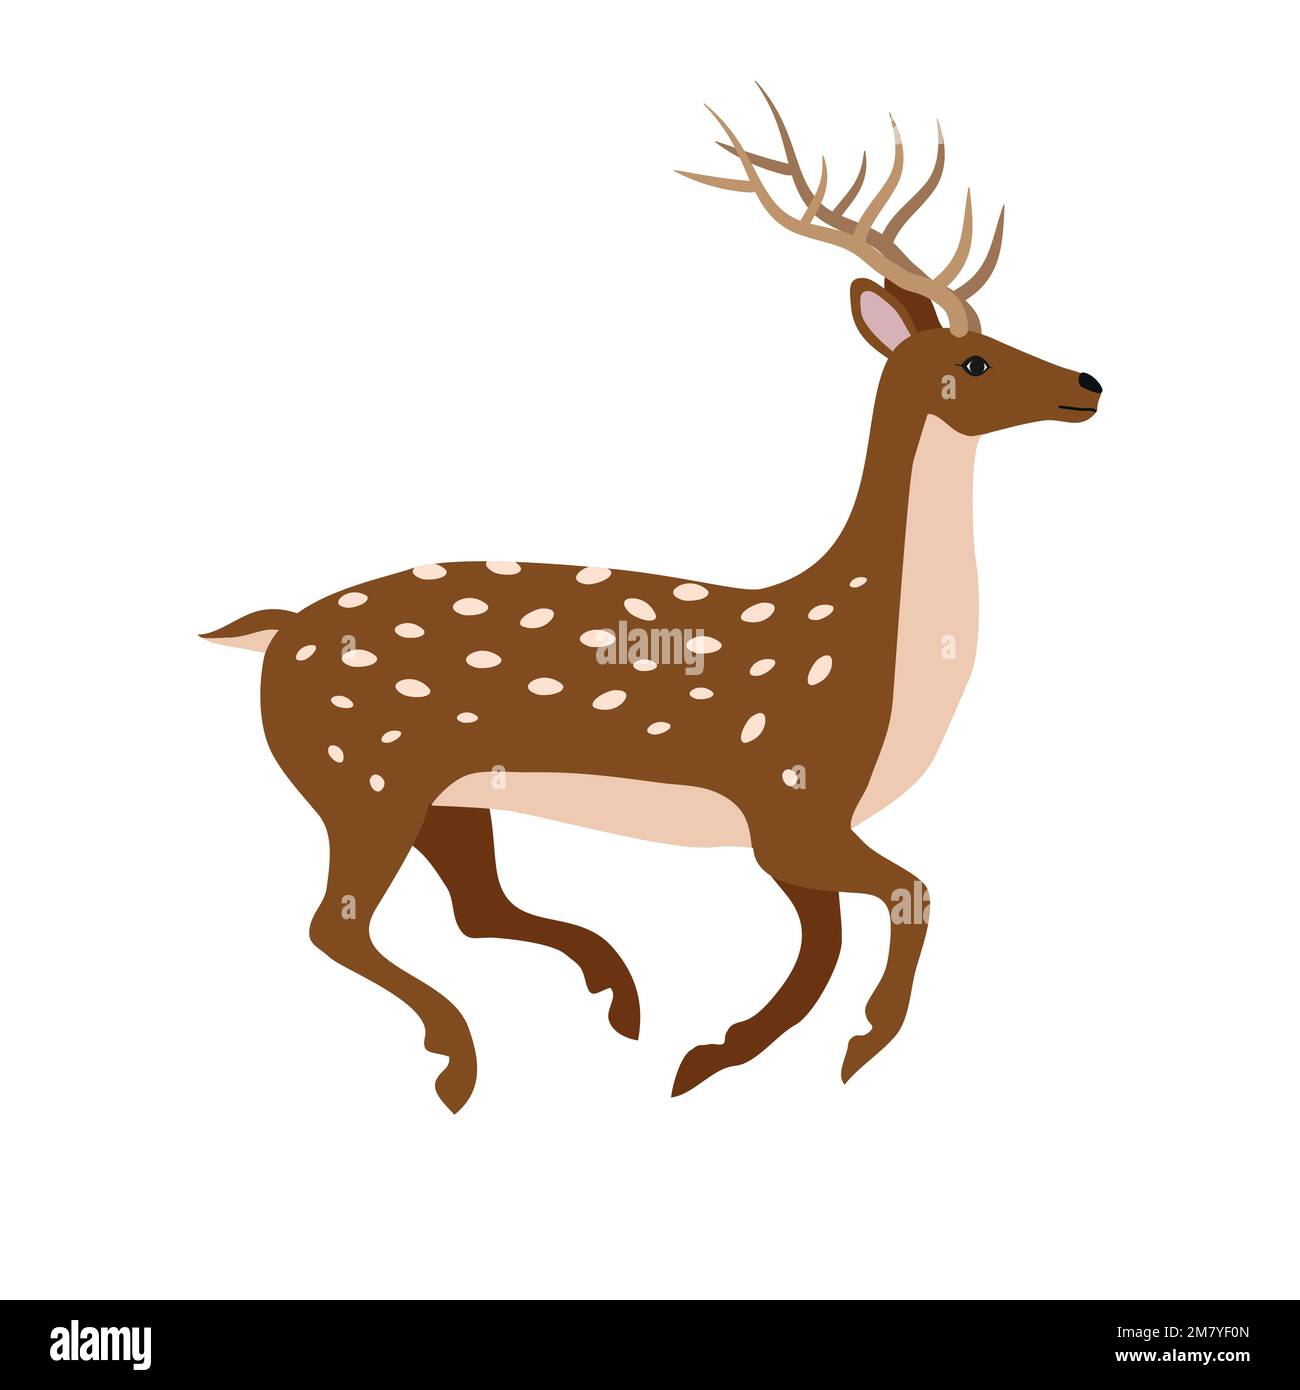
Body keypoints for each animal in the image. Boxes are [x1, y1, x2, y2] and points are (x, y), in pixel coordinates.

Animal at [203, 90, 1101, 1112]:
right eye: (977, 361)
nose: (1088, 384)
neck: (883, 667)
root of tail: (271, 636)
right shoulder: (790, 800)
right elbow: (902, 897)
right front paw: (853, 1044)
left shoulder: (795, 826)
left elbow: (828, 942)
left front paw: (717, 1054)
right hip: (363, 776)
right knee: (336, 923)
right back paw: (462, 1058)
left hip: (443, 794)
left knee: (473, 908)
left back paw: (616, 992)